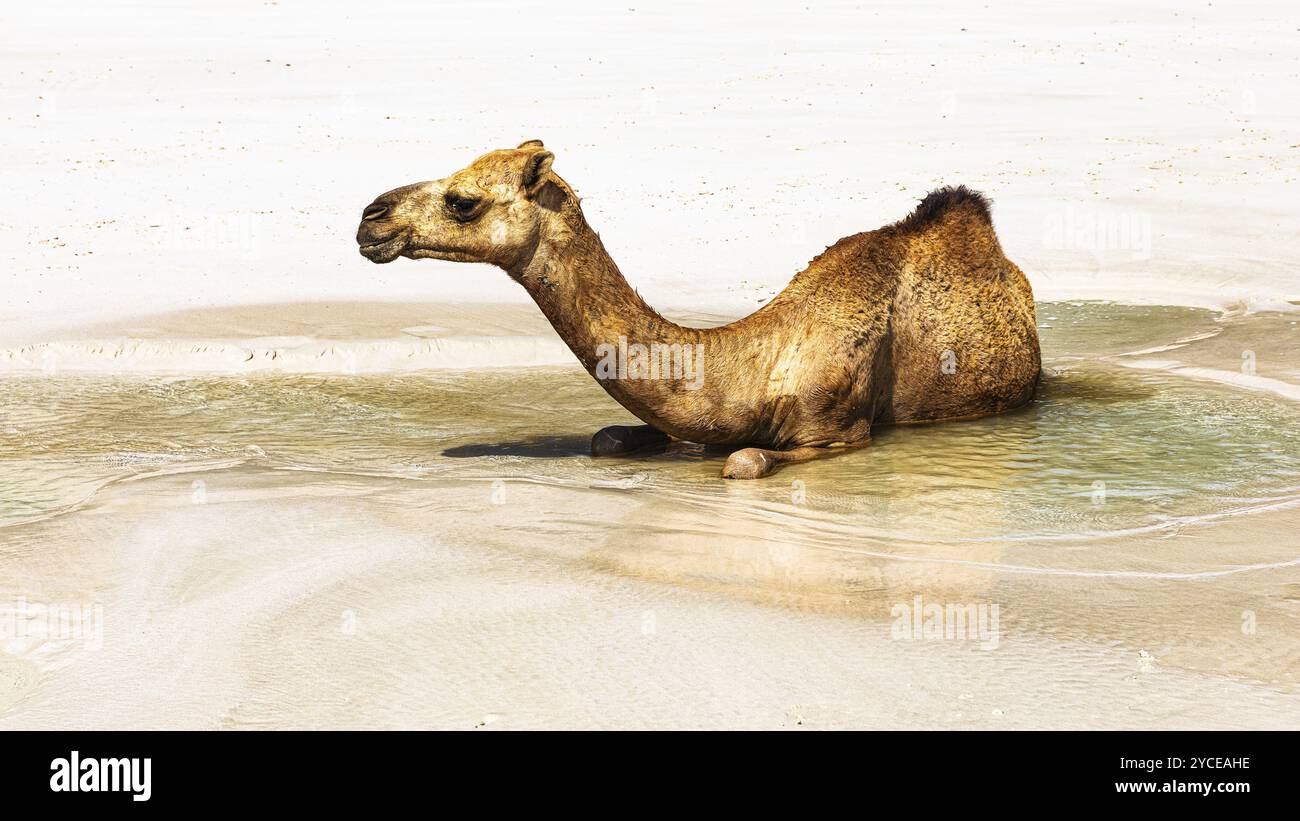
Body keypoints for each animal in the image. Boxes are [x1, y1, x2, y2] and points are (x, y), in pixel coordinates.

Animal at [357, 140, 1041, 479]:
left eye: (462, 200)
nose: (370, 217)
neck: (753, 364)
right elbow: (609, 438)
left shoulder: (839, 428)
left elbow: (744, 460)